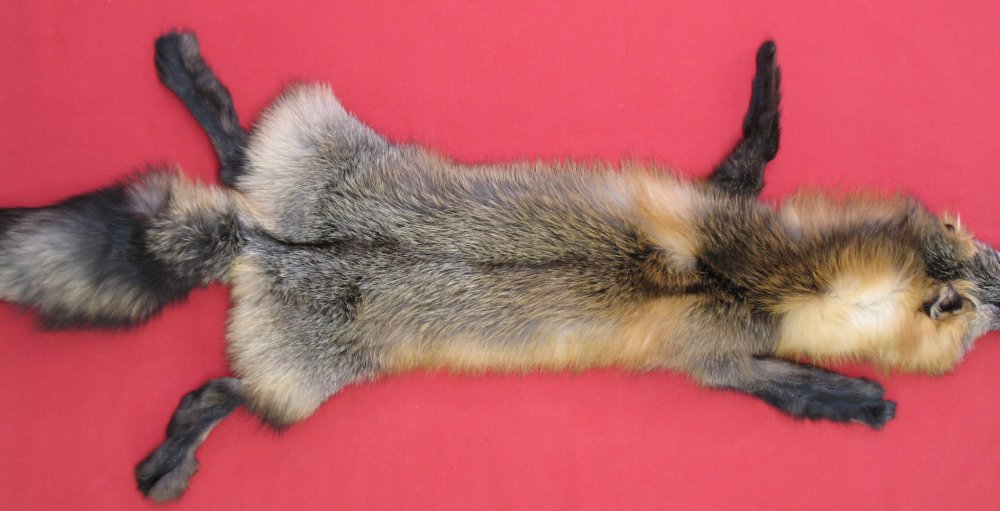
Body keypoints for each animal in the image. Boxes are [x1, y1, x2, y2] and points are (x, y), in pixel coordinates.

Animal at [1, 31, 998, 502]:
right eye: (987, 281)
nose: (999, 260)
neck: (753, 273)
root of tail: (262, 246)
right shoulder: (719, 340)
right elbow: (789, 381)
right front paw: (861, 400)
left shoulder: (729, 226)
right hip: (302, 381)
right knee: (222, 391)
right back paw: (166, 461)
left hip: (299, 188)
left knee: (235, 166)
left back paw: (185, 73)